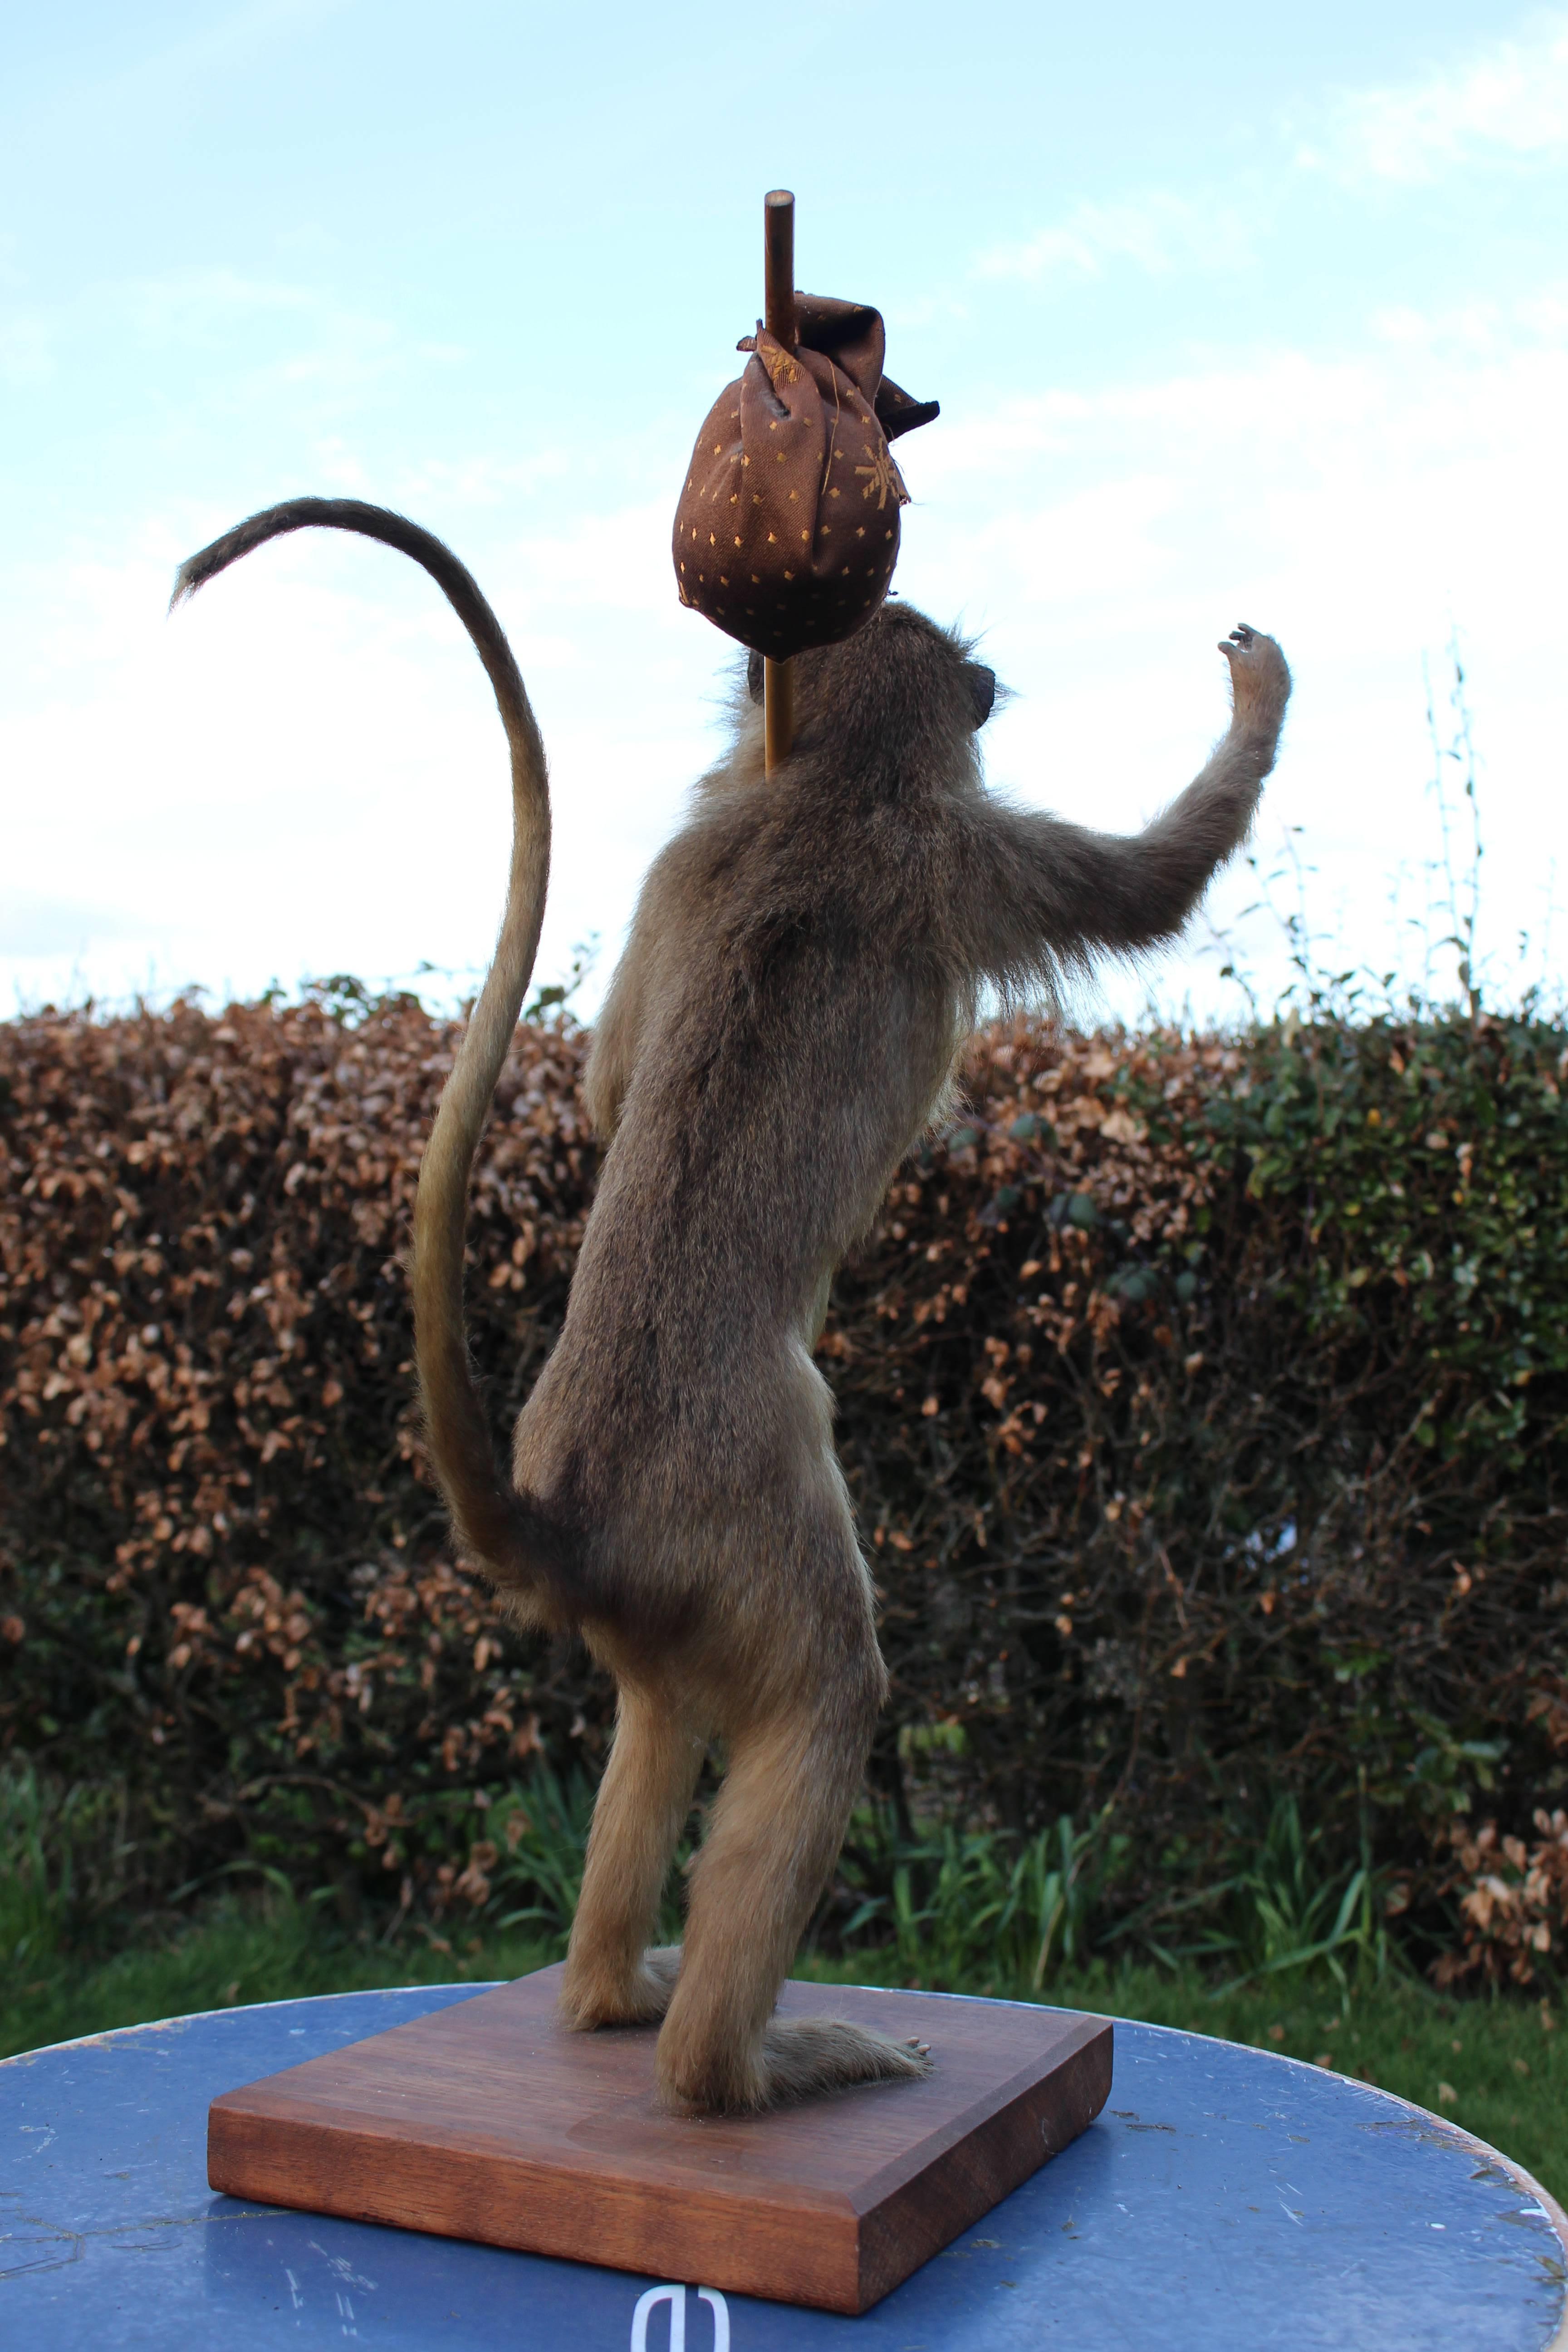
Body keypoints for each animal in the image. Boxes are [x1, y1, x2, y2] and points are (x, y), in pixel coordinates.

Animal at [172, 496, 1290, 2115]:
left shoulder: (686, 852)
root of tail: (564, 1513)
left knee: (662, 1713)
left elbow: (607, 1088)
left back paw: (609, 1994)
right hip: (753, 1511)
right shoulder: (964, 855)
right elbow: (1157, 887)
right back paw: (731, 2068)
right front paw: (1258, 696)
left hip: (665, 1589)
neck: (826, 787)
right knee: (828, 1697)